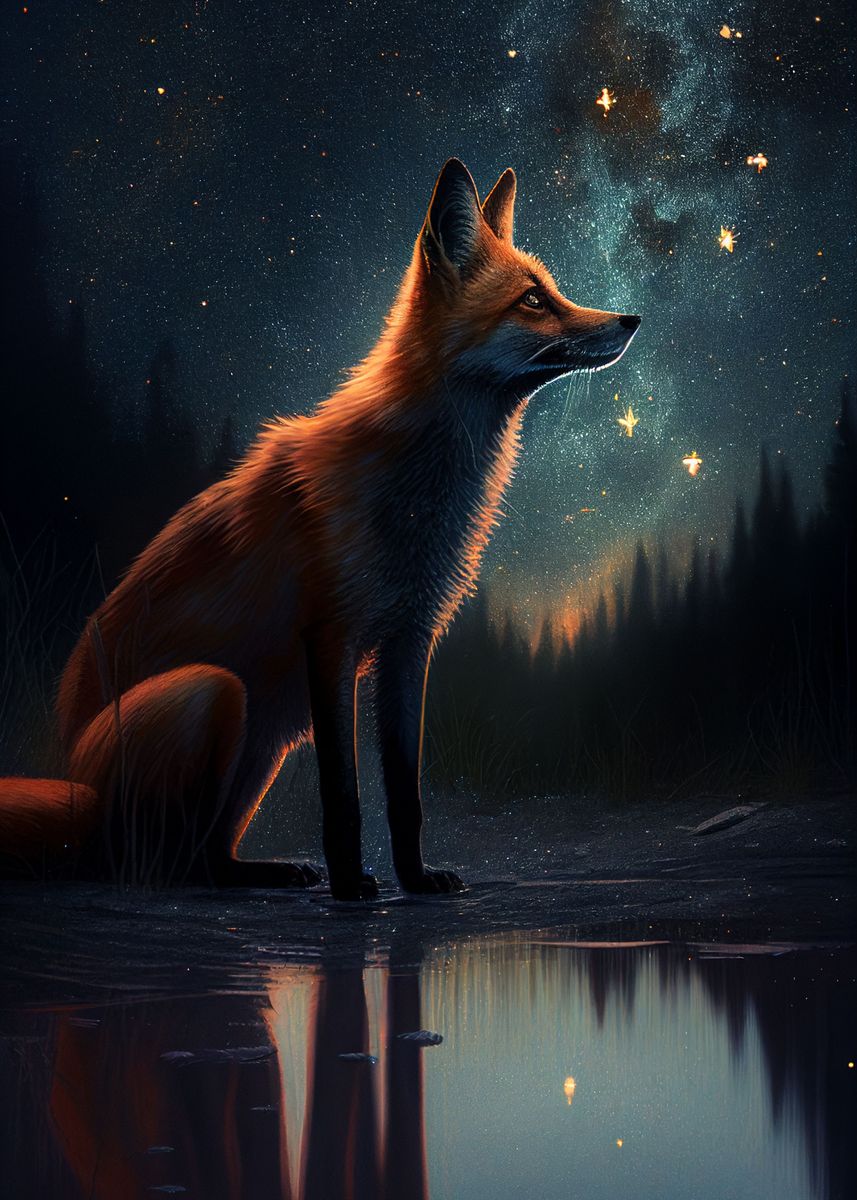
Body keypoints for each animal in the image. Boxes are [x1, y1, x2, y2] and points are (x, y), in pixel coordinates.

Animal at [0, 159, 640, 899]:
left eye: (554, 290)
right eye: (532, 300)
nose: (631, 318)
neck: (419, 492)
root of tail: (70, 785)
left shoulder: (408, 641)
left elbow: (404, 792)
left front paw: (414, 878)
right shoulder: (331, 638)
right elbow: (343, 794)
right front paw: (351, 886)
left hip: (265, 741)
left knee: (204, 859)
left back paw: (266, 871)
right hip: (214, 692)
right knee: (155, 865)